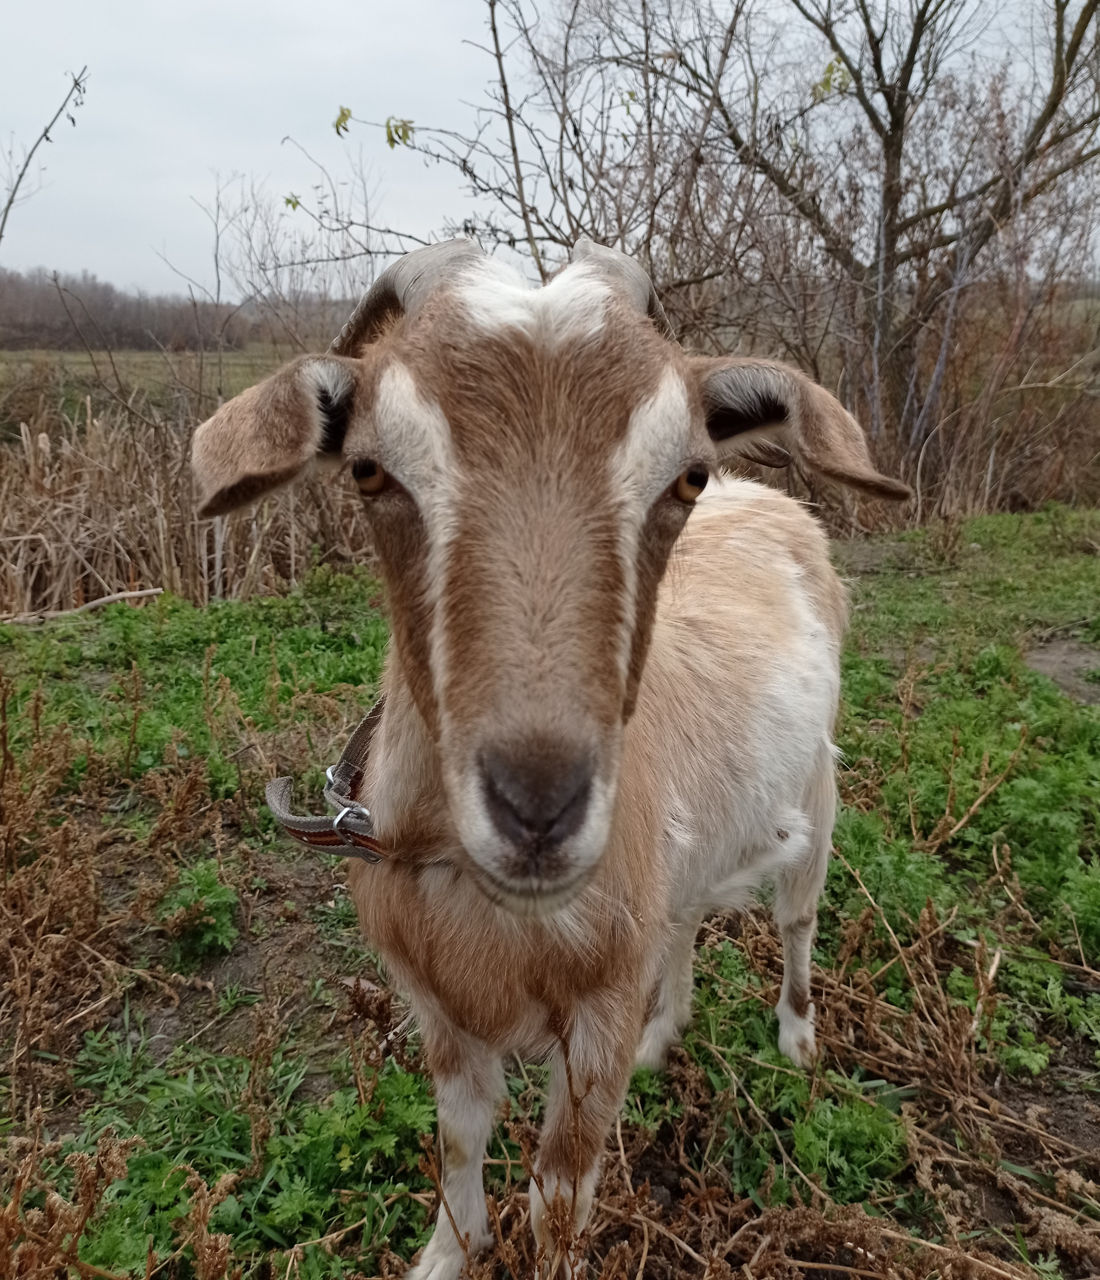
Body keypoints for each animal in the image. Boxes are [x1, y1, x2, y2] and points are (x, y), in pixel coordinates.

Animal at [191, 238, 909, 1279]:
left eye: (686, 477)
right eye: (368, 469)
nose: (538, 808)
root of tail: (774, 501)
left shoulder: (592, 1021)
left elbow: (558, 1198)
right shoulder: (441, 1011)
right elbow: (460, 1144)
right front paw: (446, 1255)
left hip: (816, 794)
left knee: (799, 920)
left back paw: (797, 1040)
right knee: (685, 920)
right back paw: (666, 1035)